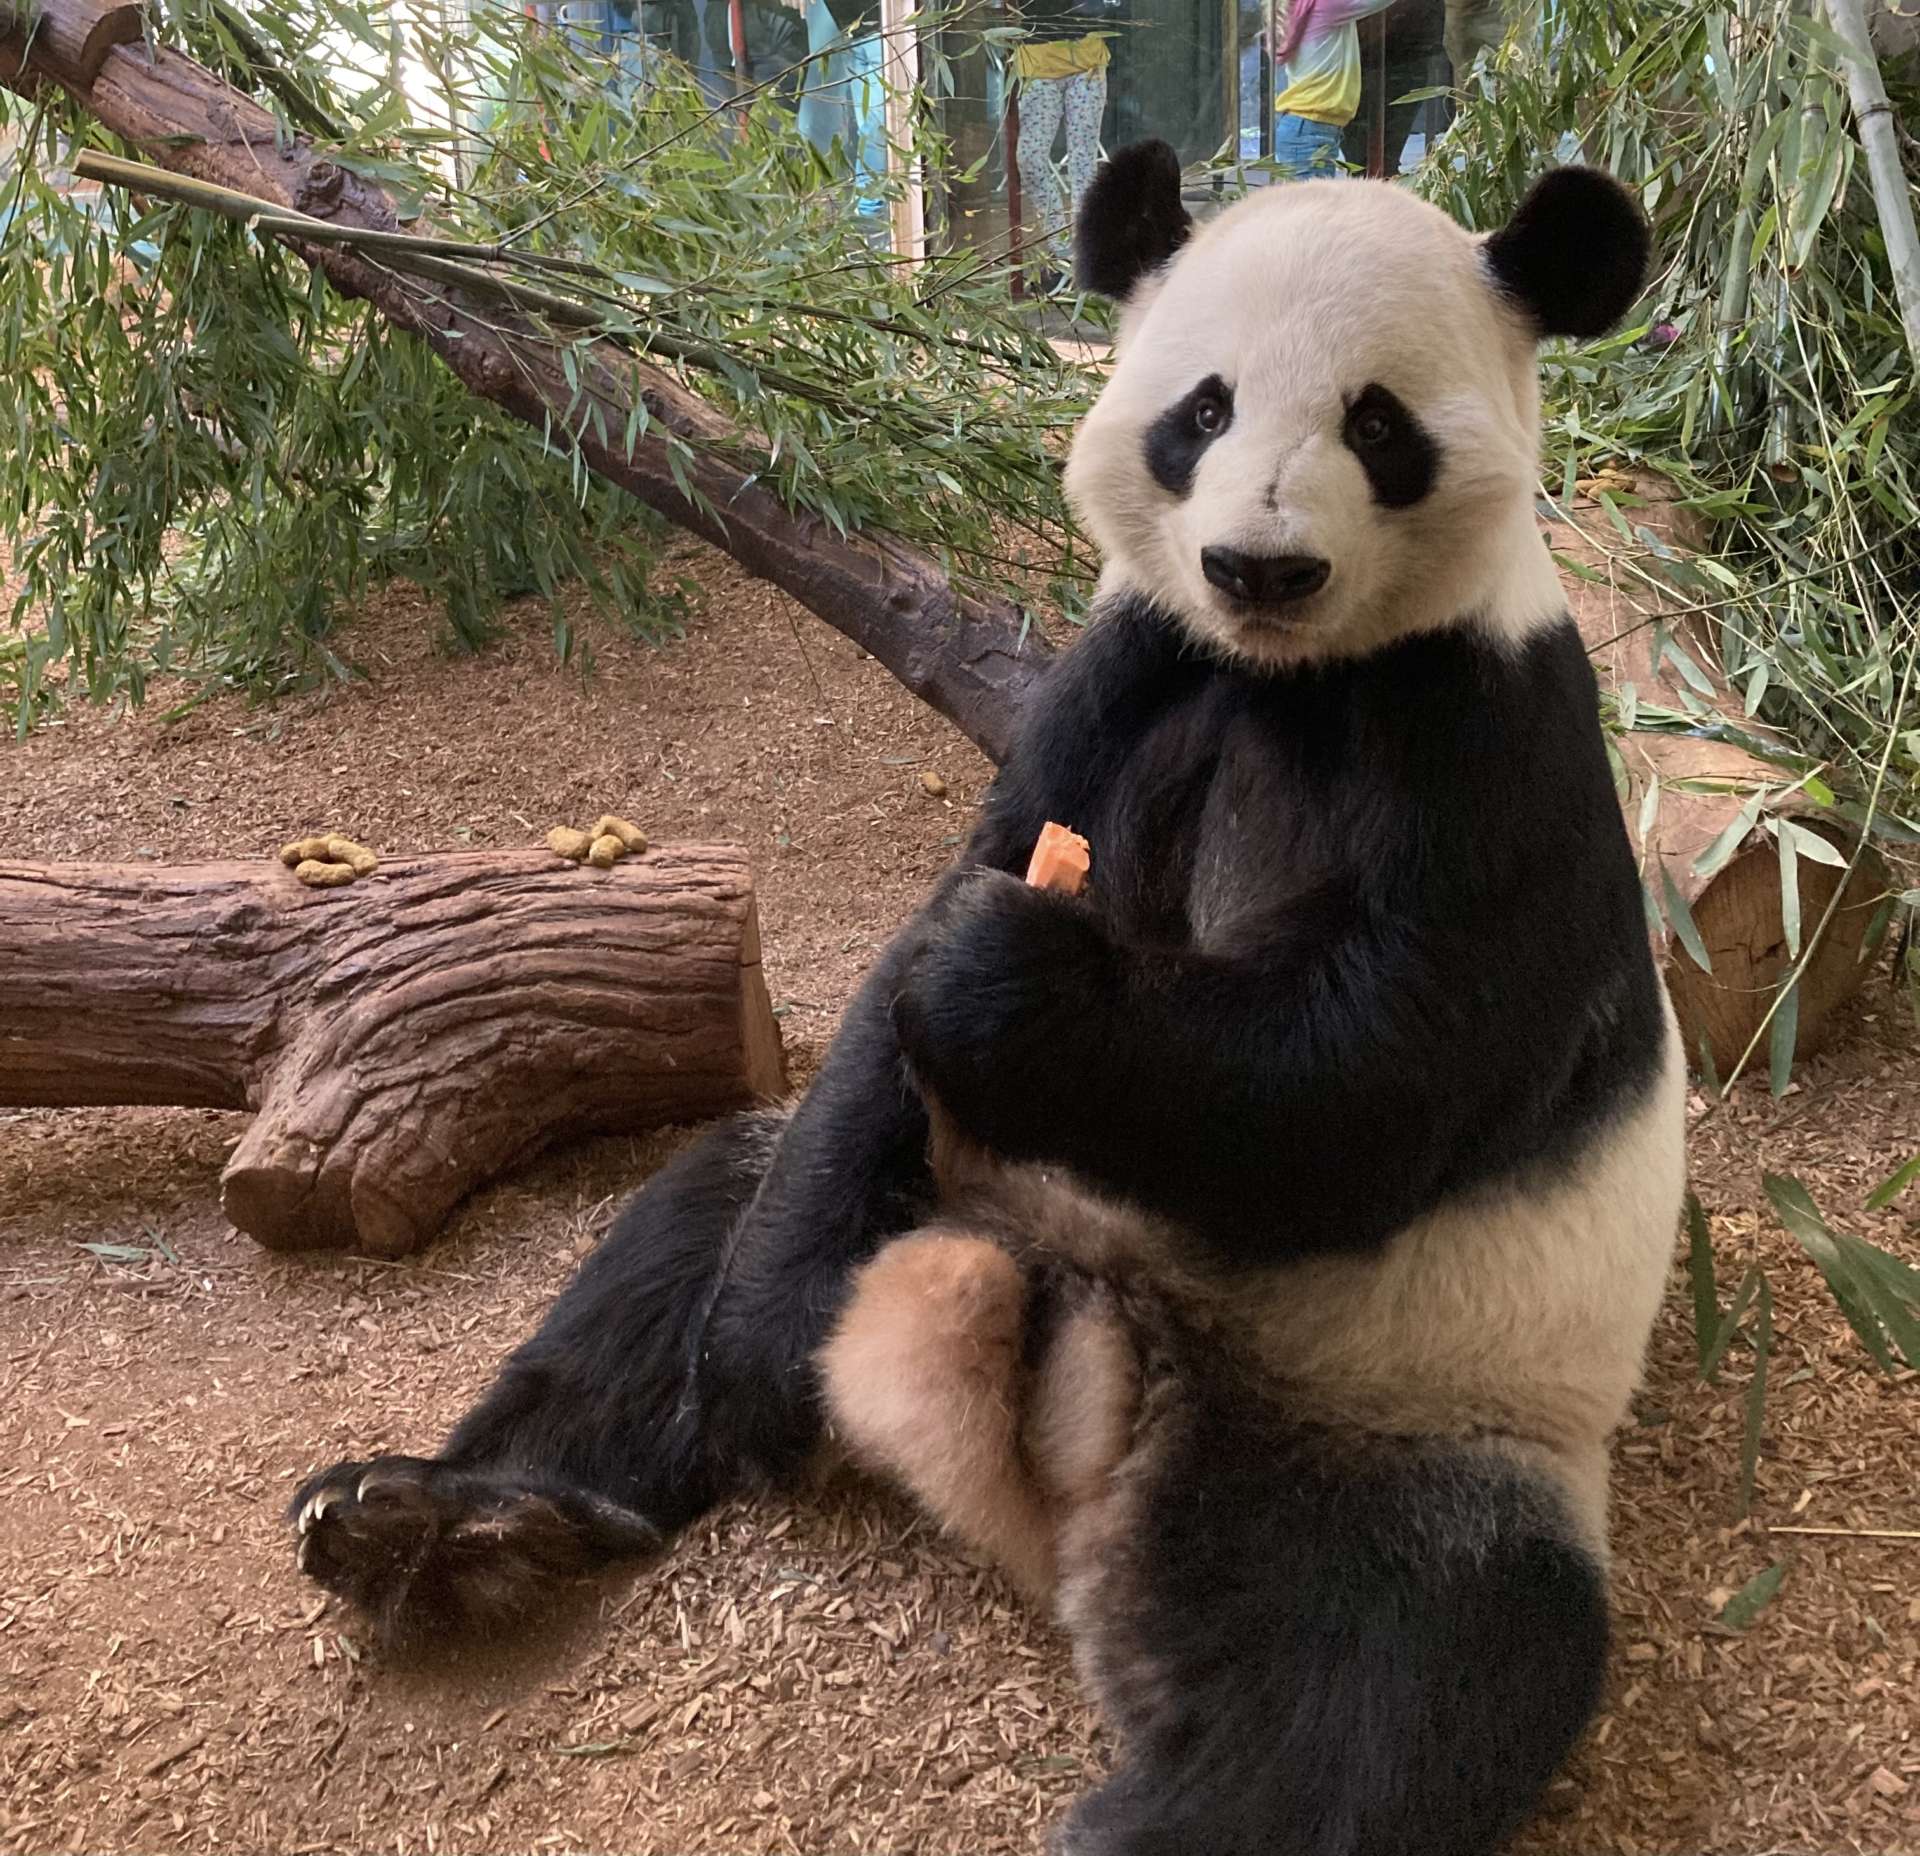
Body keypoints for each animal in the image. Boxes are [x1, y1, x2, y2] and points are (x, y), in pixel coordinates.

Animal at [289, 142, 1682, 1856]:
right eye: (1203, 410)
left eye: (1378, 425)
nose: (1262, 565)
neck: (1285, 673)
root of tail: (1075, 1436)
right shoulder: (1135, 659)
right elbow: (958, 900)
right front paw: (761, 1358)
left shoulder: (1488, 736)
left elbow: (1375, 1077)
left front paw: (1002, 972)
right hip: (921, 1196)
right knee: (690, 1234)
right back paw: (450, 1522)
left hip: (1409, 1427)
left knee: (1398, 1677)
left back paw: (1144, 1819)